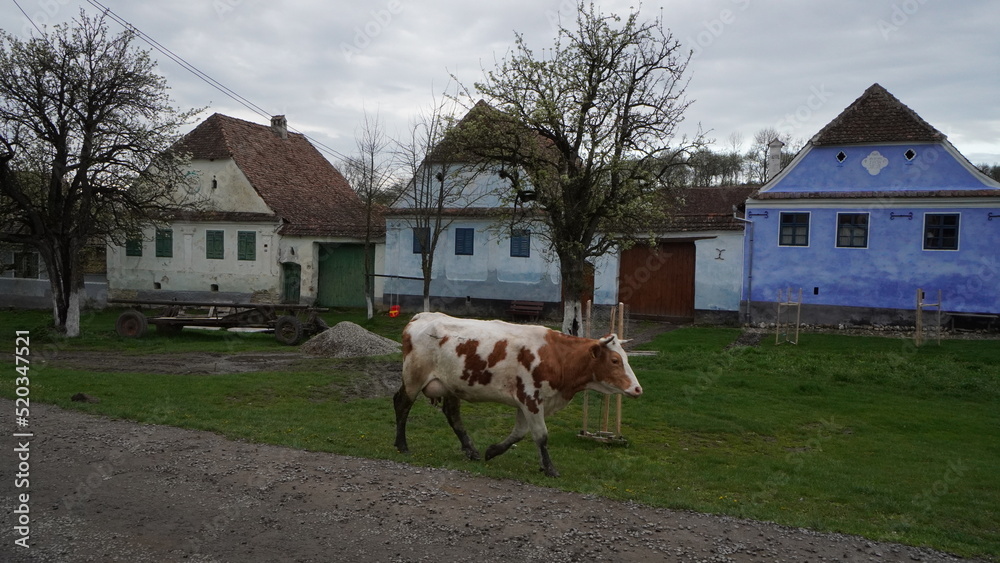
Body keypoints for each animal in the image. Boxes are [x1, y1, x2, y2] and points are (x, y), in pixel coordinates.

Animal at [393, 312, 642, 477]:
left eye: (625, 358)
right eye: (615, 360)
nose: (638, 389)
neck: (557, 356)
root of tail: (422, 317)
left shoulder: (527, 402)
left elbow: (520, 433)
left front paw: (493, 451)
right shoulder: (530, 398)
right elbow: (541, 435)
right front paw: (550, 468)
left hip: (451, 384)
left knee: (452, 414)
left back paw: (471, 450)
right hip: (414, 377)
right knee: (402, 404)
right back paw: (402, 445)